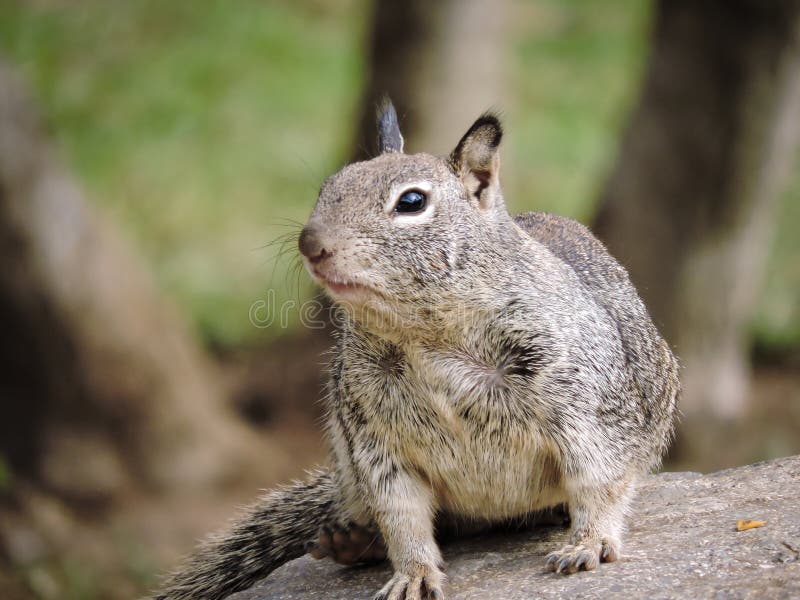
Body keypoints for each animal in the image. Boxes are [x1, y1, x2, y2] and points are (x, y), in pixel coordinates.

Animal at [154, 99, 680, 600]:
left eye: (411, 201)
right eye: (329, 185)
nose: (310, 243)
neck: (424, 336)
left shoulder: (584, 402)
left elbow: (599, 481)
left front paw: (589, 543)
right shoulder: (375, 438)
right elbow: (402, 516)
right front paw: (413, 573)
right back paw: (353, 542)